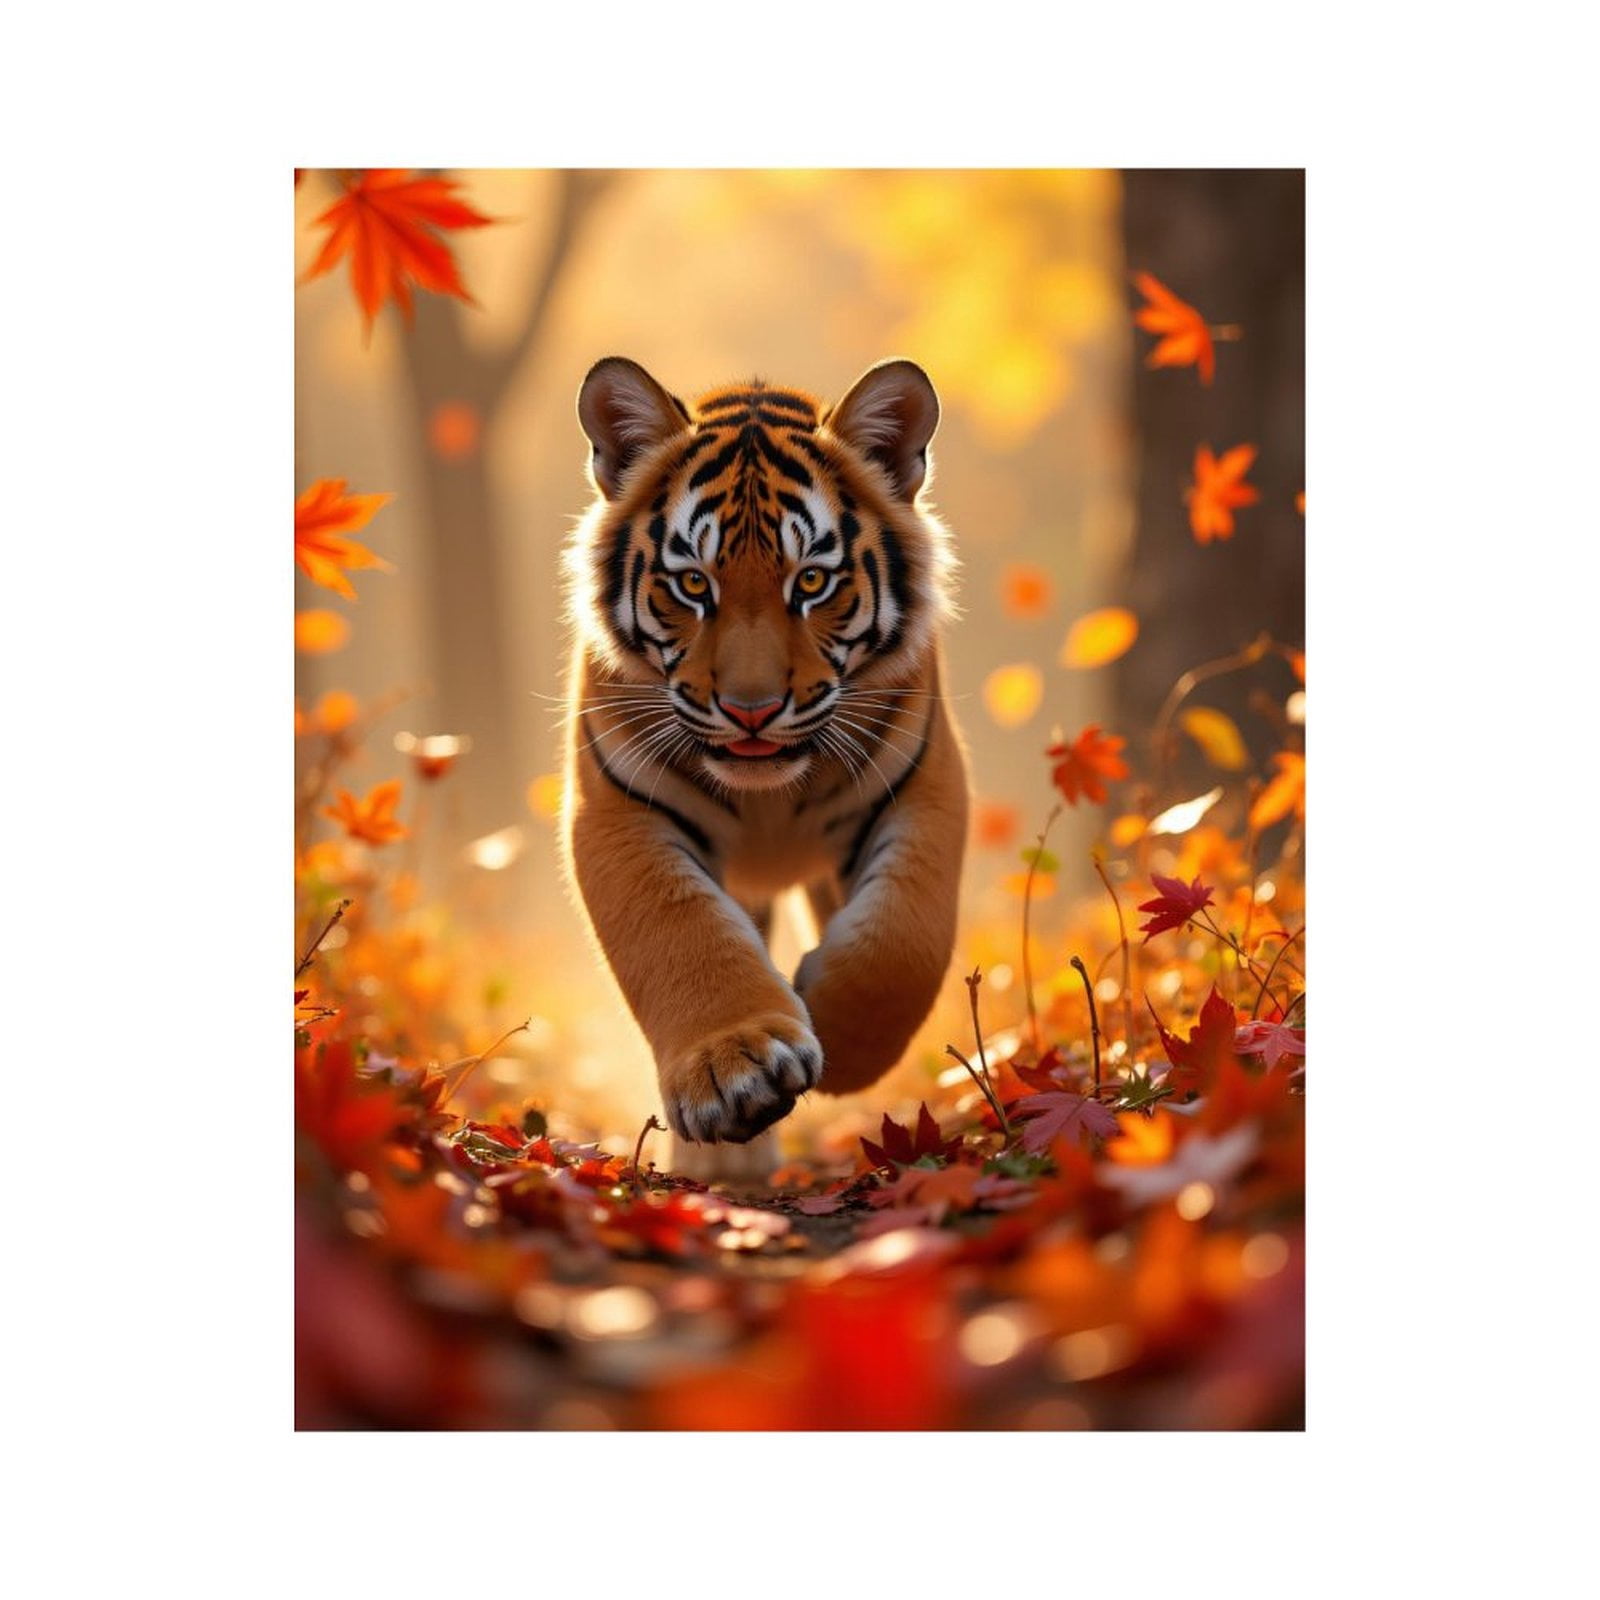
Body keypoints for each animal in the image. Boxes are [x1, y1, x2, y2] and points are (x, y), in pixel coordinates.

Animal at [560, 356, 970, 1166]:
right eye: (693, 583)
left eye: (811, 581)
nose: (751, 709)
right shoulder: (619, 805)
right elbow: (677, 928)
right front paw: (736, 1073)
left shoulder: (924, 783)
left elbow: (902, 939)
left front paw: (834, 1031)